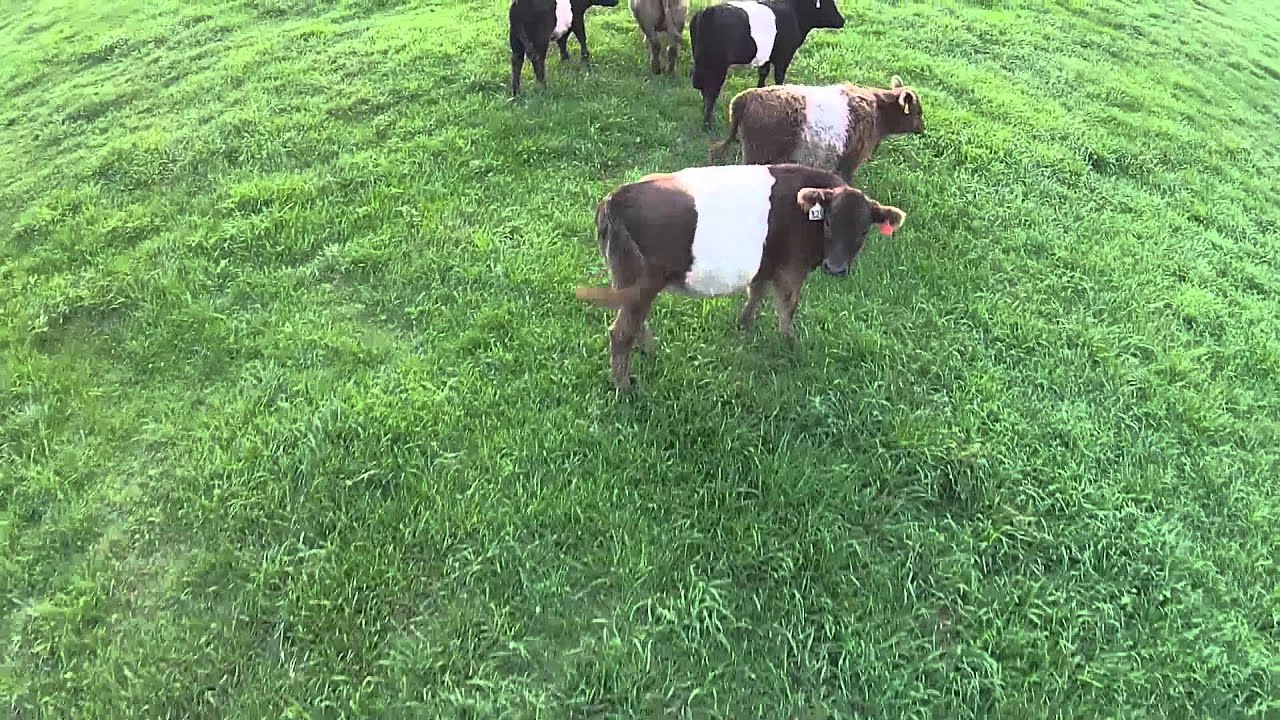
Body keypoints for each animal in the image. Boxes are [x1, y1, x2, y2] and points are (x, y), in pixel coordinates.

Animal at [574, 163, 906, 391]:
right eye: (828, 223)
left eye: (863, 231)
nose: (835, 268)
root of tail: (616, 197)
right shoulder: (792, 268)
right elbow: (787, 306)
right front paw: (791, 344)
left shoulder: (767, 263)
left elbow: (756, 292)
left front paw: (744, 325)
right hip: (643, 282)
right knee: (621, 332)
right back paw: (624, 386)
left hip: (625, 280)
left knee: (632, 323)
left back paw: (649, 351)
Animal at [689, 0, 846, 129]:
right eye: (827, 3)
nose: (842, 21)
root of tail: (707, 11)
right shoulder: (784, 55)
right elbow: (779, 77)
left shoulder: (768, 57)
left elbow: (763, 73)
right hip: (717, 66)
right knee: (711, 91)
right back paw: (708, 124)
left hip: (702, 63)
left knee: (703, 88)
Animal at [709, 76, 926, 180]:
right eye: (918, 112)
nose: (923, 129)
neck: (878, 111)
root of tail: (745, 97)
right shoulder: (850, 160)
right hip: (757, 156)